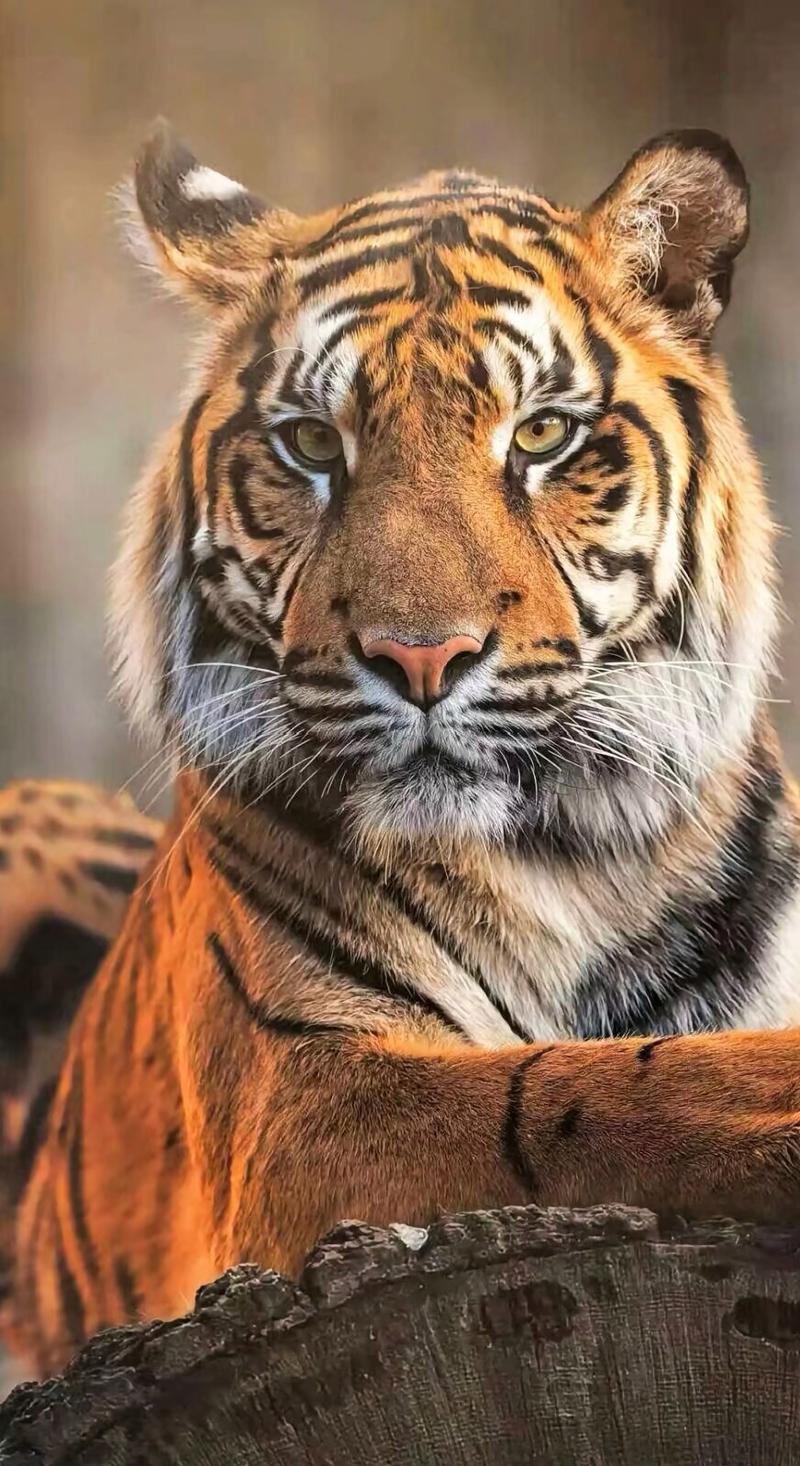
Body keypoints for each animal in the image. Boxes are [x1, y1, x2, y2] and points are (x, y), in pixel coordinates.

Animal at [6, 119, 800, 1379]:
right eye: (310, 444)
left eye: (539, 434)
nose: (418, 656)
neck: (579, 854)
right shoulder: (298, 1099)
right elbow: (572, 1087)